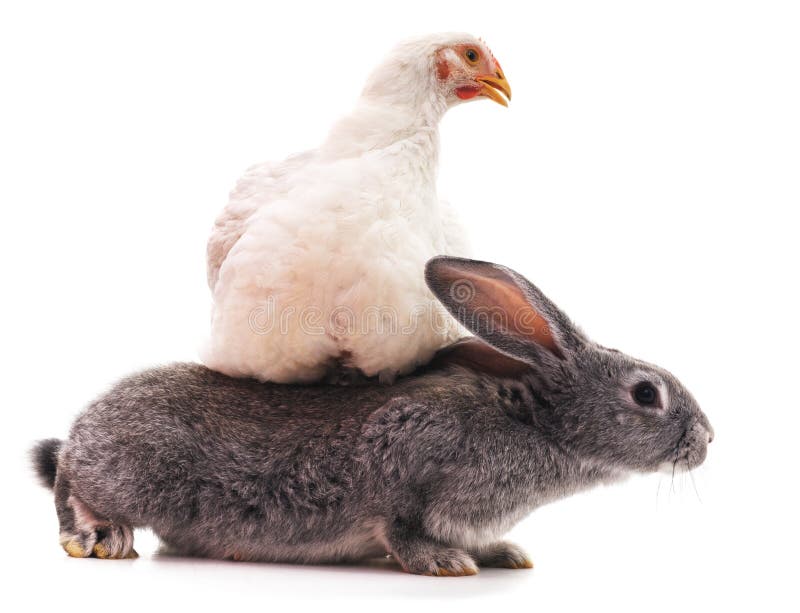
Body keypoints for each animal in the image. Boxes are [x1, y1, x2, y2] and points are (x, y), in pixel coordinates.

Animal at [31, 256, 713, 576]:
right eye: (645, 394)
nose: (707, 441)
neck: (535, 426)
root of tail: (84, 429)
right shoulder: (407, 456)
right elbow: (401, 524)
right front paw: (443, 564)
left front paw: (503, 553)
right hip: (129, 472)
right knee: (69, 486)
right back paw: (97, 537)